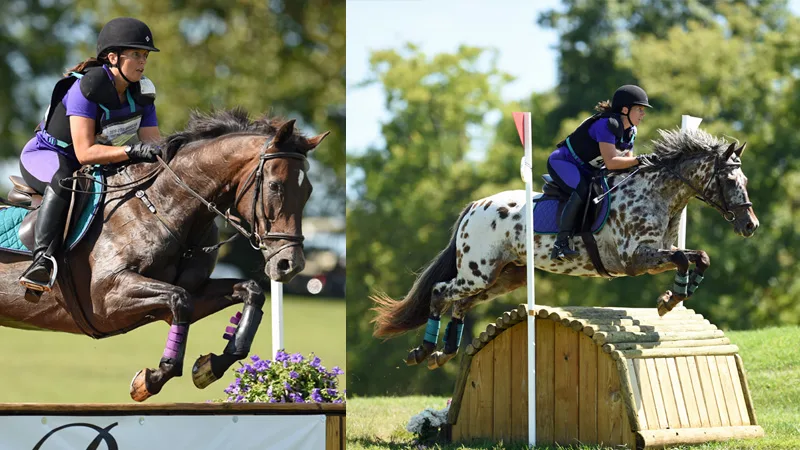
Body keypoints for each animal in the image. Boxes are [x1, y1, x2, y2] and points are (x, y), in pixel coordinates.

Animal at [0, 107, 329, 401]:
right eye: (275, 186)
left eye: (309, 191)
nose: (290, 264)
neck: (162, 205)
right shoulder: (106, 298)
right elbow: (179, 300)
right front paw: (150, 380)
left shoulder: (189, 294)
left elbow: (250, 291)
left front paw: (211, 366)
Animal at [371, 127, 758, 370]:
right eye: (728, 180)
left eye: (744, 179)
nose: (750, 225)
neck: (659, 194)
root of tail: (474, 206)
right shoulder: (635, 259)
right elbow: (682, 258)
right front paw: (670, 299)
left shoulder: (653, 255)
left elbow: (697, 257)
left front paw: (675, 296)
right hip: (476, 274)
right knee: (441, 292)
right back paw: (424, 350)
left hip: (503, 277)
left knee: (461, 304)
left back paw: (445, 353)